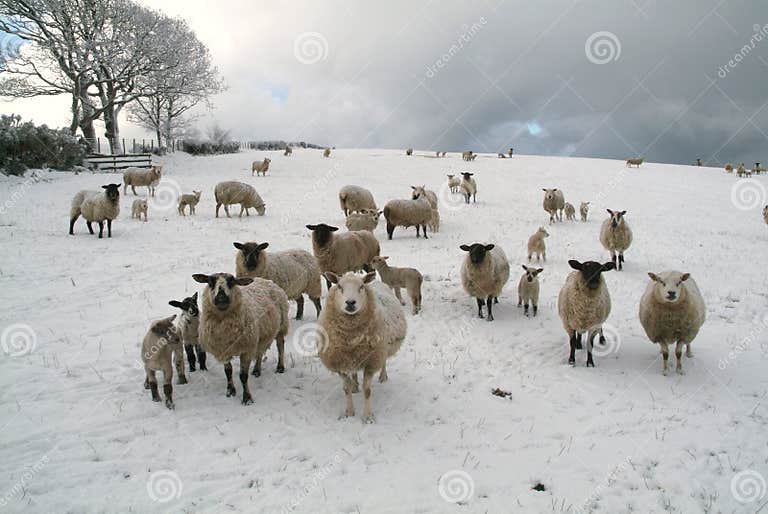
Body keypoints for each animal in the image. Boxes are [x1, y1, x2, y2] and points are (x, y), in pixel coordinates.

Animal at [192, 273, 289, 404]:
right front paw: (230, 391)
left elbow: (243, 376)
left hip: (282, 325)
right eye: (211, 282)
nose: (221, 295)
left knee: (280, 345)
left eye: (231, 282)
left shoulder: (246, 350)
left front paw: (247, 398)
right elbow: (228, 372)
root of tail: (264, 280)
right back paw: (256, 370)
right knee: (259, 351)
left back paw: (280, 367)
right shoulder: (224, 350)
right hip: (259, 335)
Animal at [318, 271, 407, 422]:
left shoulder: (372, 361)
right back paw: (355, 386)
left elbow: (367, 390)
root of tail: (376, 282)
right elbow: (346, 389)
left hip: (383, 346)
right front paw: (349, 412)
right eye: (339, 286)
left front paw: (368, 417)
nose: (350, 302)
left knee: (384, 361)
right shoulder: (340, 362)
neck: (351, 337)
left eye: (361, 287)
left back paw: (383, 376)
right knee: (353, 372)